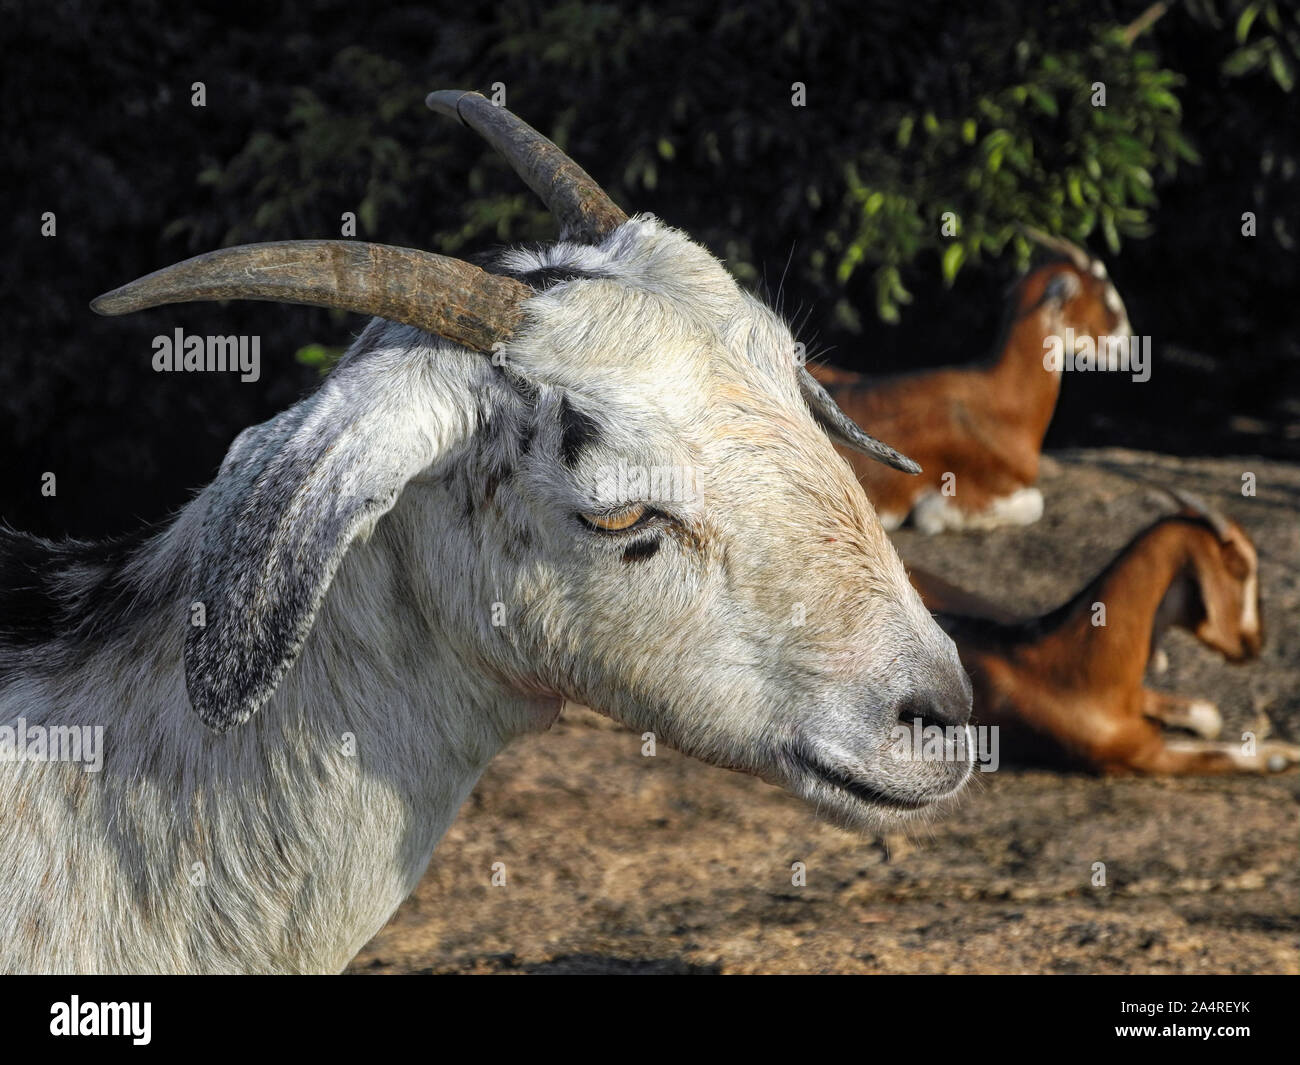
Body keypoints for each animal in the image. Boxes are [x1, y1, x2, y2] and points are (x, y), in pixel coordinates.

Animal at [909, 493, 1300, 773]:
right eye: (1241, 568)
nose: (1255, 644)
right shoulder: (1141, 753)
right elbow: (1223, 755)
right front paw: (1284, 754)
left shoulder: (1131, 699)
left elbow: (1208, 715)